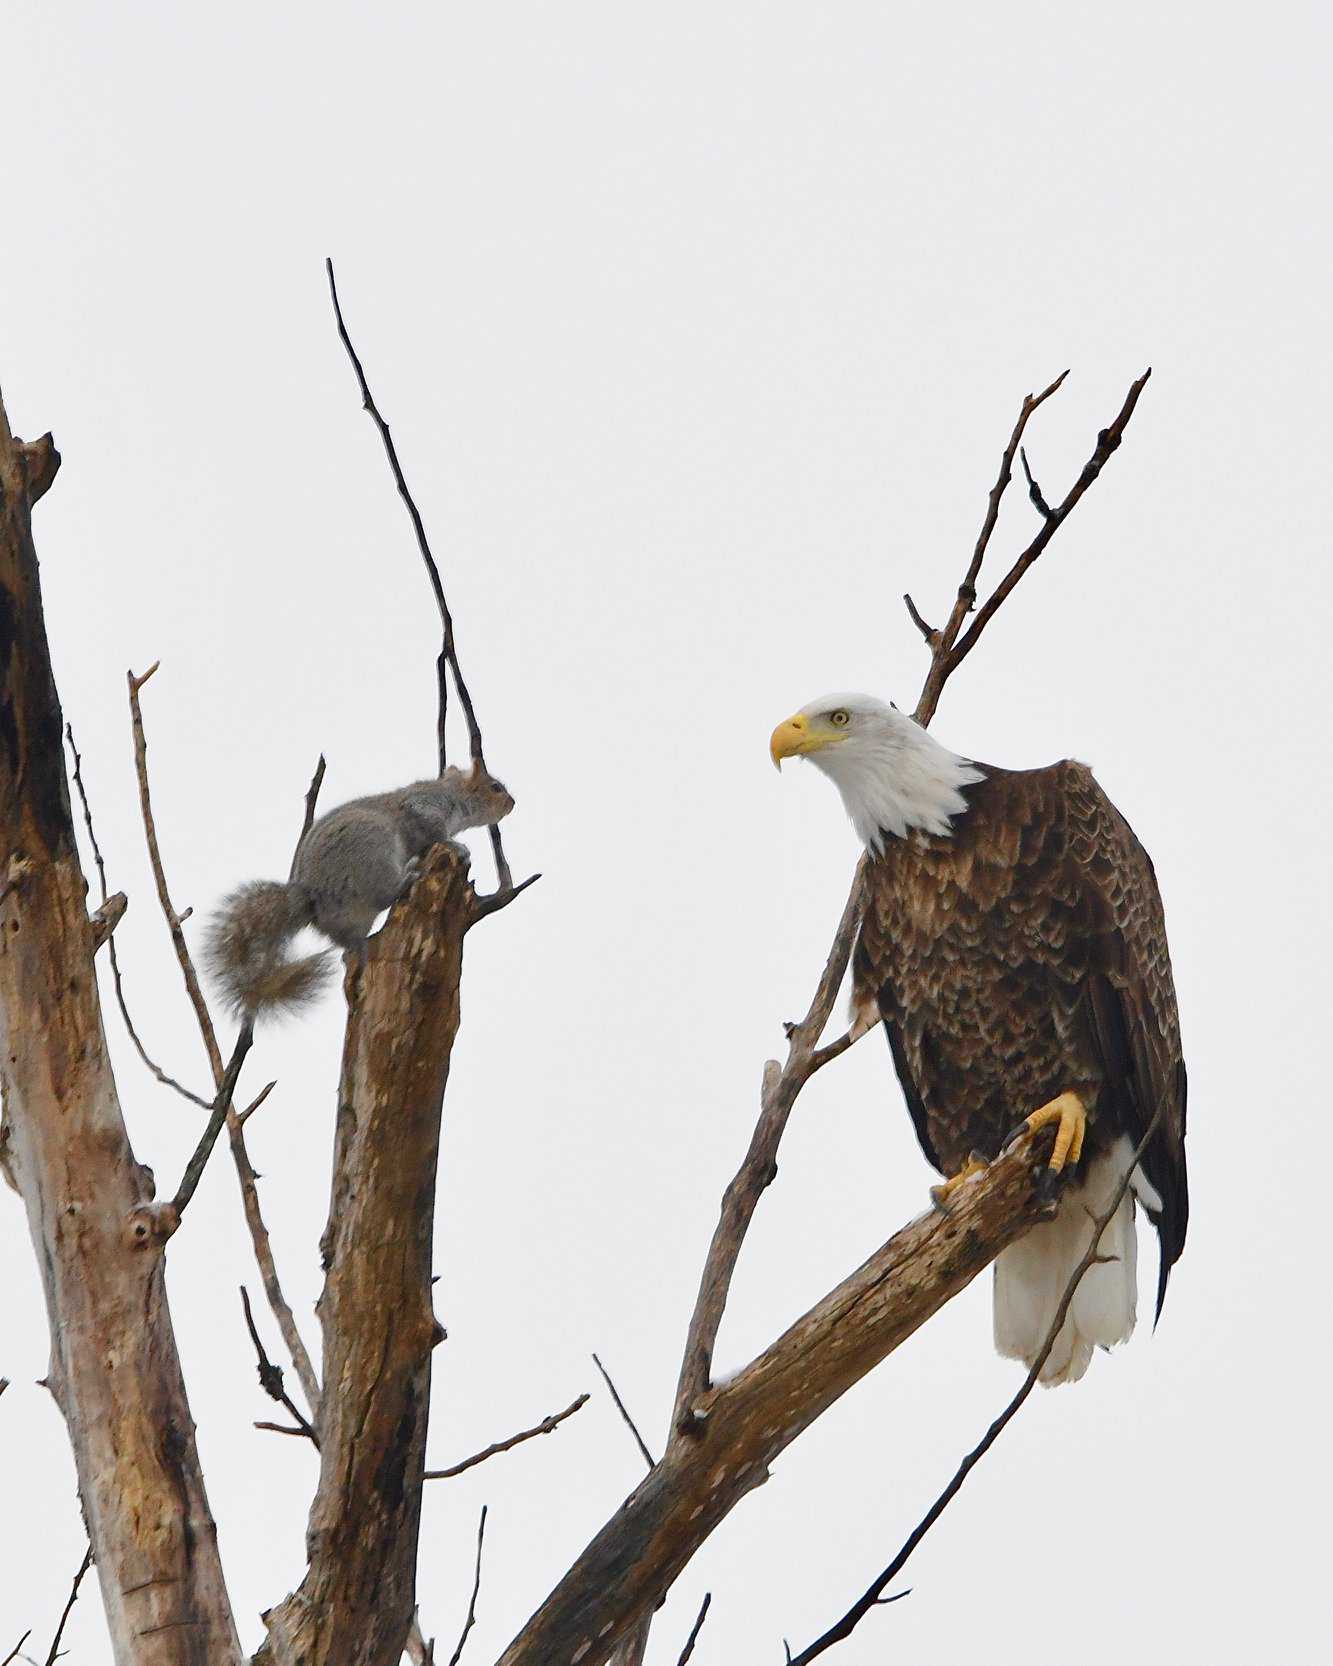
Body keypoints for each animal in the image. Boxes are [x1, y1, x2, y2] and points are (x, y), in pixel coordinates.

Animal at [204, 762, 514, 1017]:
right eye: (495, 787)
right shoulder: (425, 807)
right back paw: (406, 877)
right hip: (371, 850)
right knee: (384, 893)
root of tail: (312, 899)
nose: (512, 804)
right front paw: (458, 846)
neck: (451, 792)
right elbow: (436, 833)